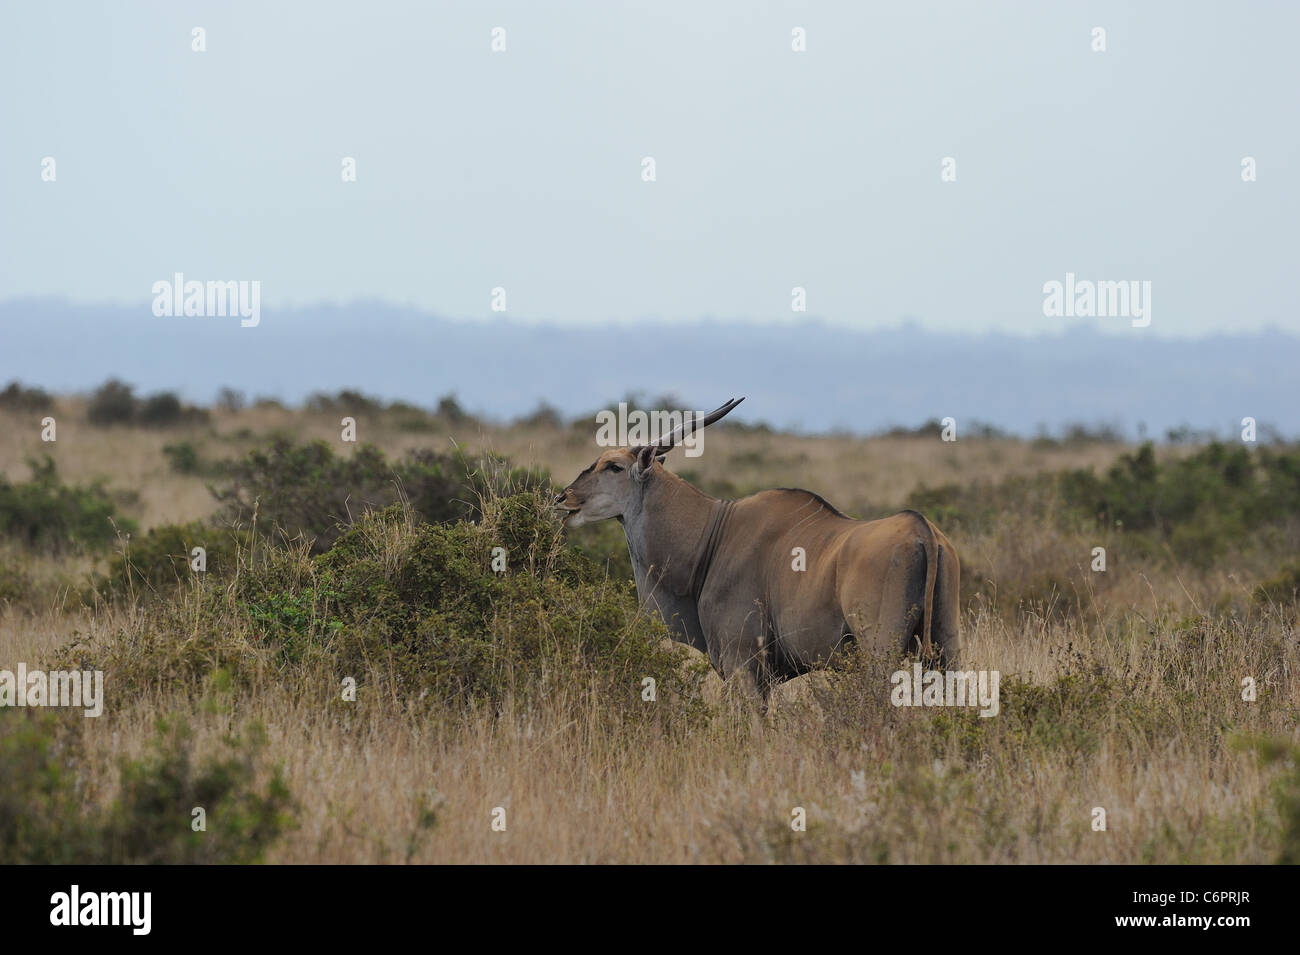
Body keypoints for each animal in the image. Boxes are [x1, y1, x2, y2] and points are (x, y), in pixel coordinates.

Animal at [554, 398, 960, 696]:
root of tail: (923, 531)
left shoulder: (742, 662)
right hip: (946, 648)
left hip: (879, 652)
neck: (713, 534)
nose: (562, 497)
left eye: (613, 467)